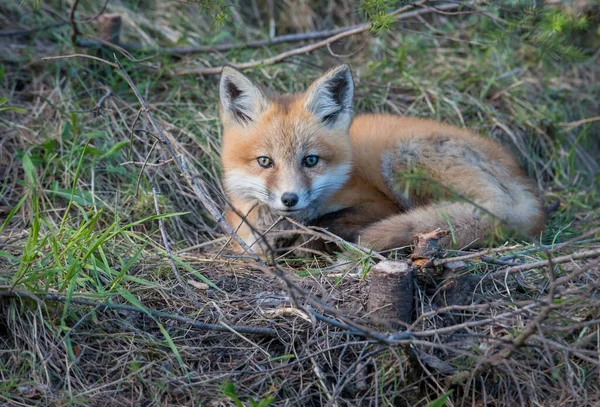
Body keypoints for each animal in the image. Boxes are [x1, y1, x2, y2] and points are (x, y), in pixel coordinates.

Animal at [218, 65, 548, 253]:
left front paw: (315, 241)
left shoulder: (379, 204)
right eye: (265, 162)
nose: (290, 199)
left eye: (310, 160)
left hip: (401, 158)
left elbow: (328, 223)